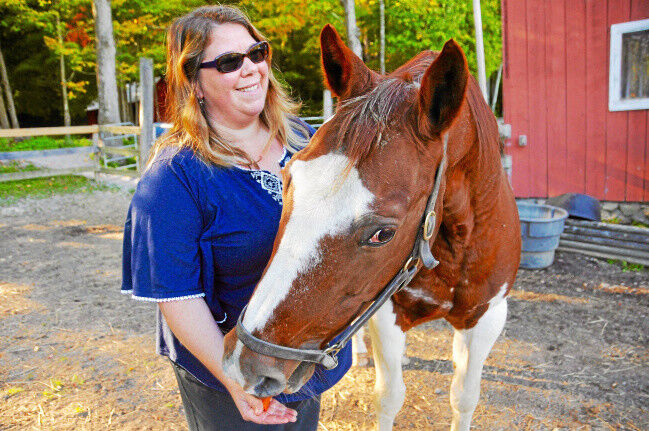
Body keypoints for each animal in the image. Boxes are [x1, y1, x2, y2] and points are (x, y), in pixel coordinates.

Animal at [223, 24, 521, 430]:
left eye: (383, 234)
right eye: (287, 180)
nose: (246, 365)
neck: (454, 248)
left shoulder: (487, 317)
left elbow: (464, 397)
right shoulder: (386, 313)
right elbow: (389, 397)